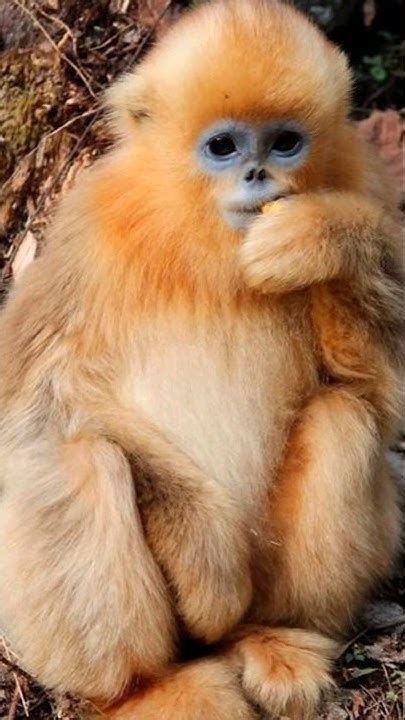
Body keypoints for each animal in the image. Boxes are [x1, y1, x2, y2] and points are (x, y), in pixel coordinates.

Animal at [0, 1, 402, 718]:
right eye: (223, 147)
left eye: (284, 142)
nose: (257, 175)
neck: (206, 240)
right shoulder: (88, 225)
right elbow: (40, 403)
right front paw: (207, 568)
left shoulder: (367, 182)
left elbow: (382, 403)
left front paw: (322, 237)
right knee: (79, 458)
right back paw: (144, 689)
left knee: (344, 417)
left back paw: (267, 637)